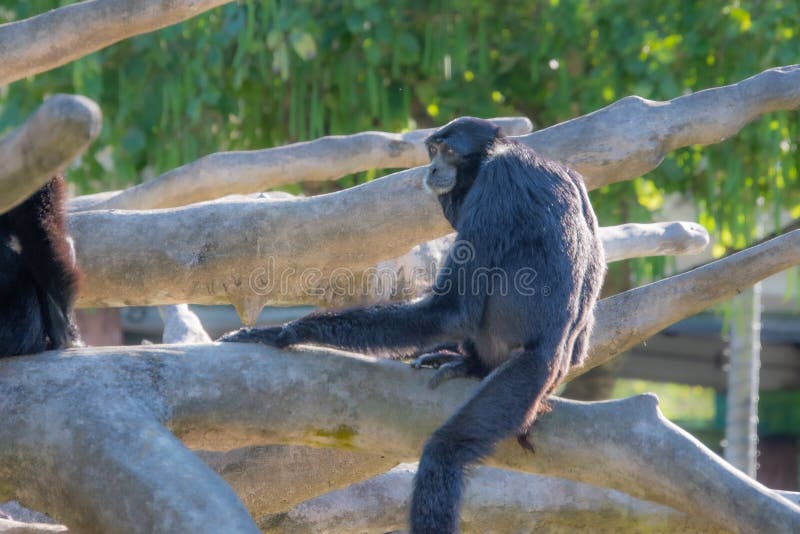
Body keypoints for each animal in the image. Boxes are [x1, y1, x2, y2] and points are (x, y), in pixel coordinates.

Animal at [219, 116, 605, 533]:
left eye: (449, 152)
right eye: (433, 150)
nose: (433, 169)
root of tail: (553, 357)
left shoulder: (497, 184)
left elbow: (451, 308)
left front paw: (283, 332)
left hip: (524, 371)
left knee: (445, 451)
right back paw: (469, 364)